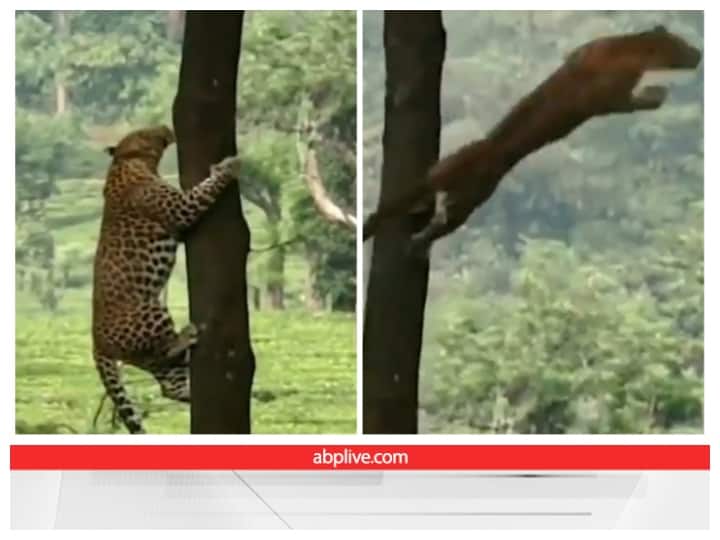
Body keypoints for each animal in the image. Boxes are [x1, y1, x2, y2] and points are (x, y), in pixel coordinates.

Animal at [91, 124, 242, 434]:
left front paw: (220, 166)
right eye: (146, 130)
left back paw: (190, 391)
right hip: (150, 311)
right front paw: (228, 166)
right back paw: (187, 334)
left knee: (168, 384)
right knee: (165, 352)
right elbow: (203, 191)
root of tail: (95, 342)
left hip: (150, 355)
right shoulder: (181, 209)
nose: (165, 127)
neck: (126, 162)